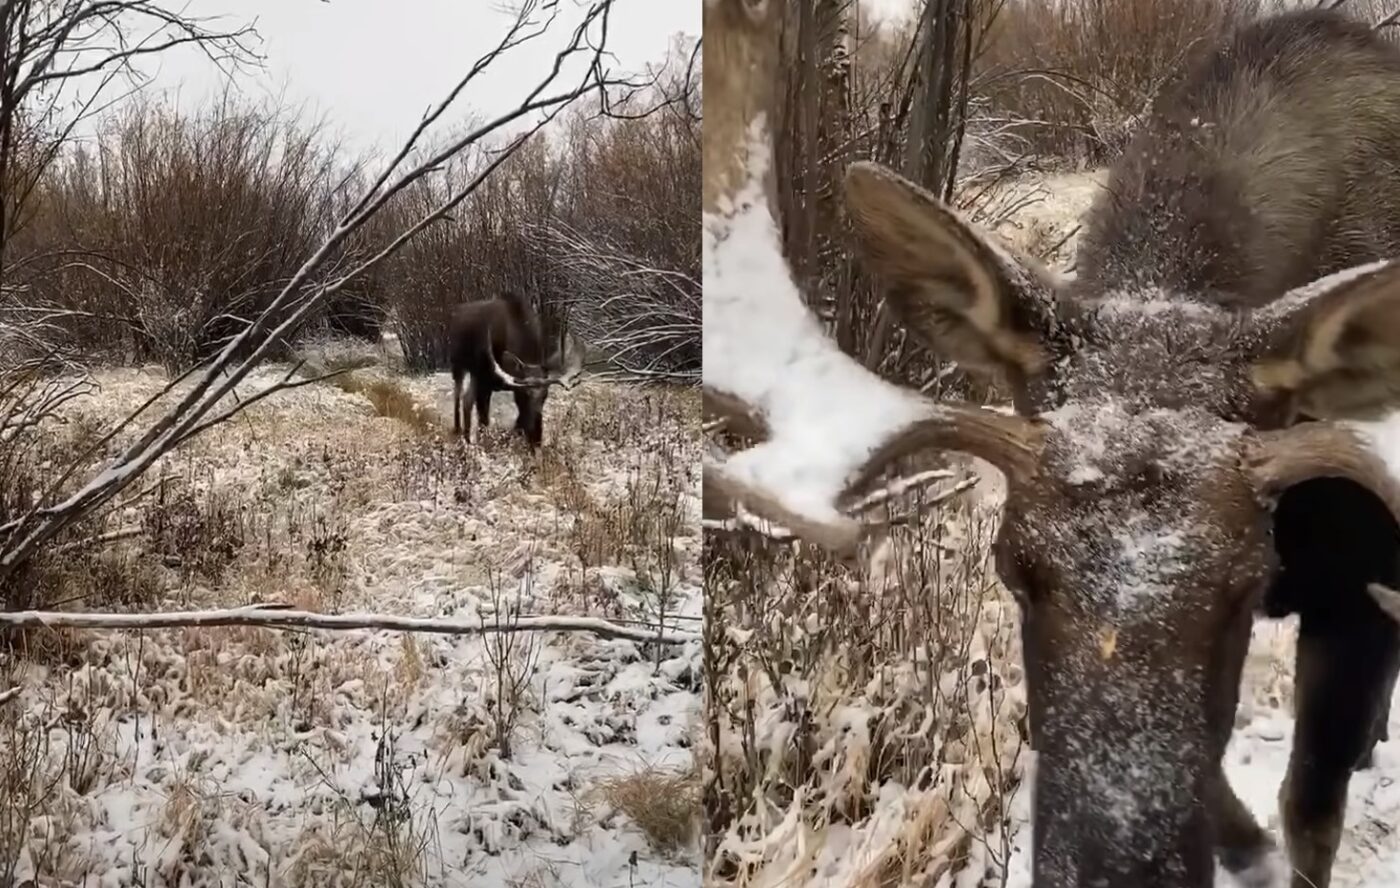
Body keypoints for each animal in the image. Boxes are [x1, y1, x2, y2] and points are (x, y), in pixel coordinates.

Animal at [448, 291, 583, 449]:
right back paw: (459, 431)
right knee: (460, 395)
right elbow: (484, 420)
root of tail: (456, 312)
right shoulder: (486, 382)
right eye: (525, 394)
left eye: (545, 395)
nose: (537, 434)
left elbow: (518, 421)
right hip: (458, 366)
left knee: (466, 399)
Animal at [705, 3, 1400, 887]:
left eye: (1248, 580)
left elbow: (1310, 812)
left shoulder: (1363, 581)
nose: (1115, 873)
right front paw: (1243, 847)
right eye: (1015, 567)